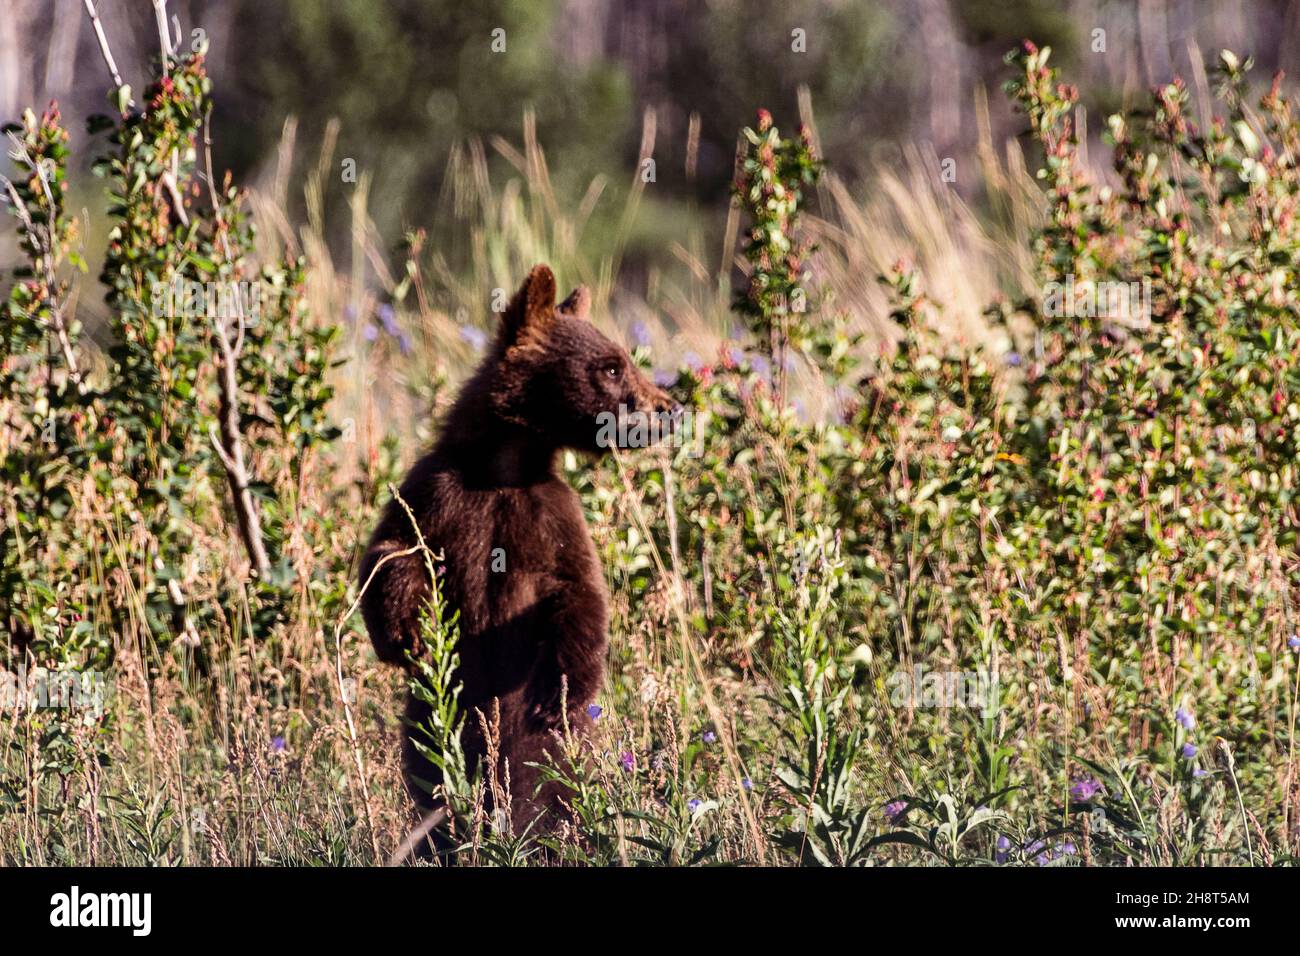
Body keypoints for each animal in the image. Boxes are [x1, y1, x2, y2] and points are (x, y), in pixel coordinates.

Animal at [358, 264, 675, 848]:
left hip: (551, 757)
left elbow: (578, 590)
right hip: (429, 732)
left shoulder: (551, 513)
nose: (667, 410)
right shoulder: (439, 493)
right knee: (433, 782)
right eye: (611, 365)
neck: (506, 464)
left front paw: (562, 692)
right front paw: (405, 631)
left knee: (551, 787)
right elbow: (391, 550)